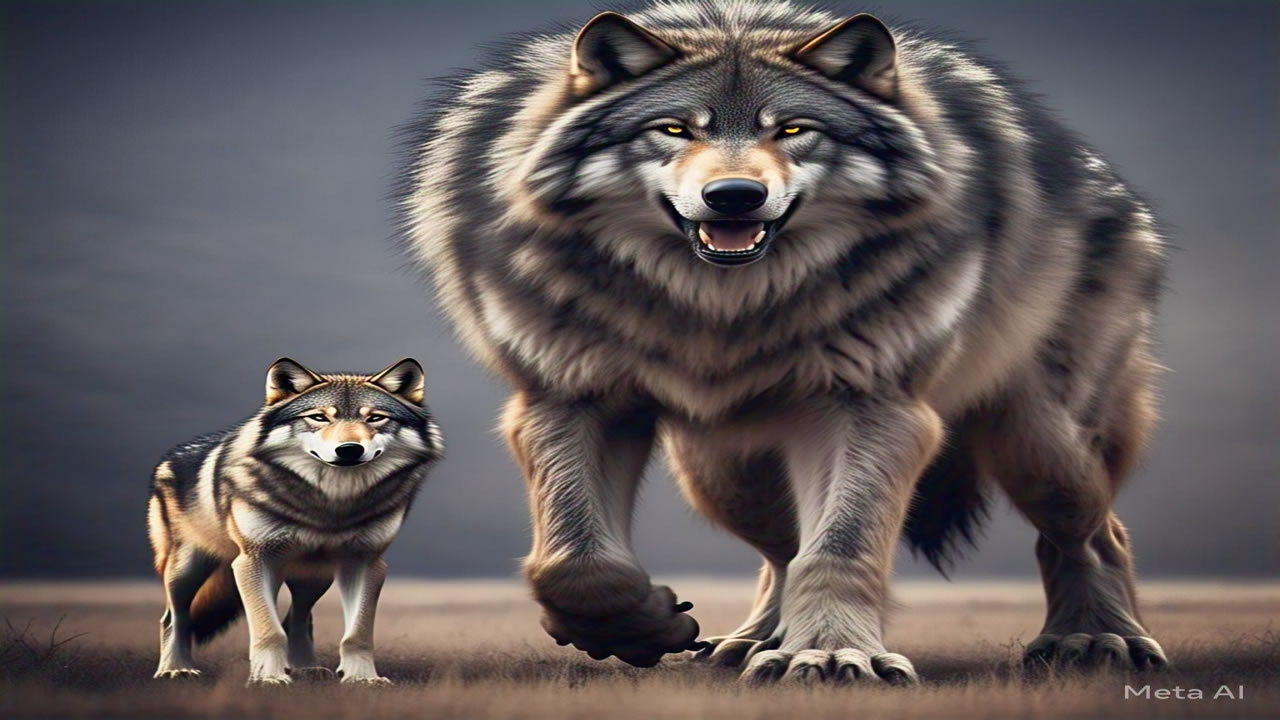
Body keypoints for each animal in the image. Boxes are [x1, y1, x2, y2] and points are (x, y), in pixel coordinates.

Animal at [147, 358, 443, 685]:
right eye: (319, 417)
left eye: (376, 418)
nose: (349, 449)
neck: (331, 503)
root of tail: (169, 457)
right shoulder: (253, 560)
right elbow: (268, 628)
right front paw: (268, 678)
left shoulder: (366, 562)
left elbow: (358, 633)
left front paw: (362, 678)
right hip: (188, 569)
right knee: (174, 618)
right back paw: (175, 669)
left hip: (314, 575)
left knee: (297, 617)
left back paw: (305, 667)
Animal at [400, 1, 1168, 684]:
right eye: (674, 129)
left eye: (794, 128)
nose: (734, 196)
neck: (721, 310)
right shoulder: (566, 396)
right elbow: (574, 562)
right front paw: (636, 627)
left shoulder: (875, 405)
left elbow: (843, 547)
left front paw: (829, 656)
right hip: (722, 475)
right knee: (782, 551)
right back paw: (753, 641)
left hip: (1037, 446)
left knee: (1095, 532)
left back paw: (1097, 640)